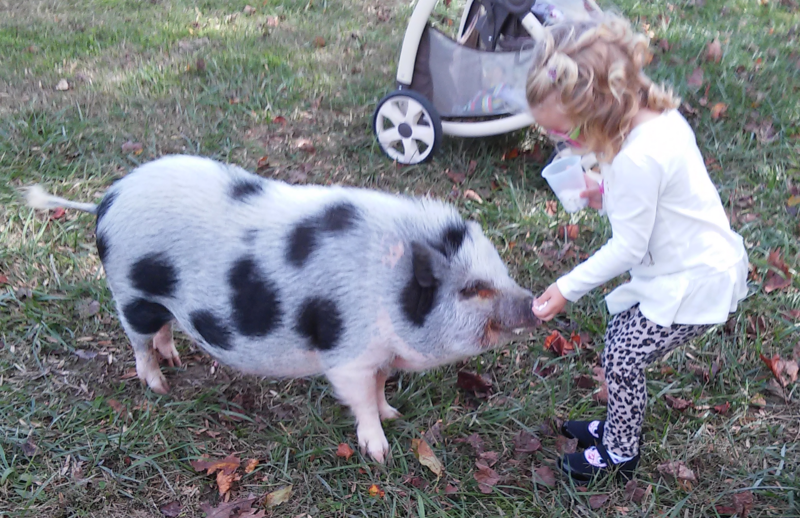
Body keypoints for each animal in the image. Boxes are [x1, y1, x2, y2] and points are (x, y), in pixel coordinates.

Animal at [24, 155, 540, 462]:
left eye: (499, 270)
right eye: (472, 289)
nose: (533, 305)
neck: (388, 290)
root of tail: (106, 201)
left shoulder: (376, 355)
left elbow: (378, 389)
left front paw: (393, 414)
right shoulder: (348, 355)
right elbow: (360, 399)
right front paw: (380, 451)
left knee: (164, 332)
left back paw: (175, 361)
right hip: (131, 296)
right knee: (139, 345)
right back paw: (161, 386)